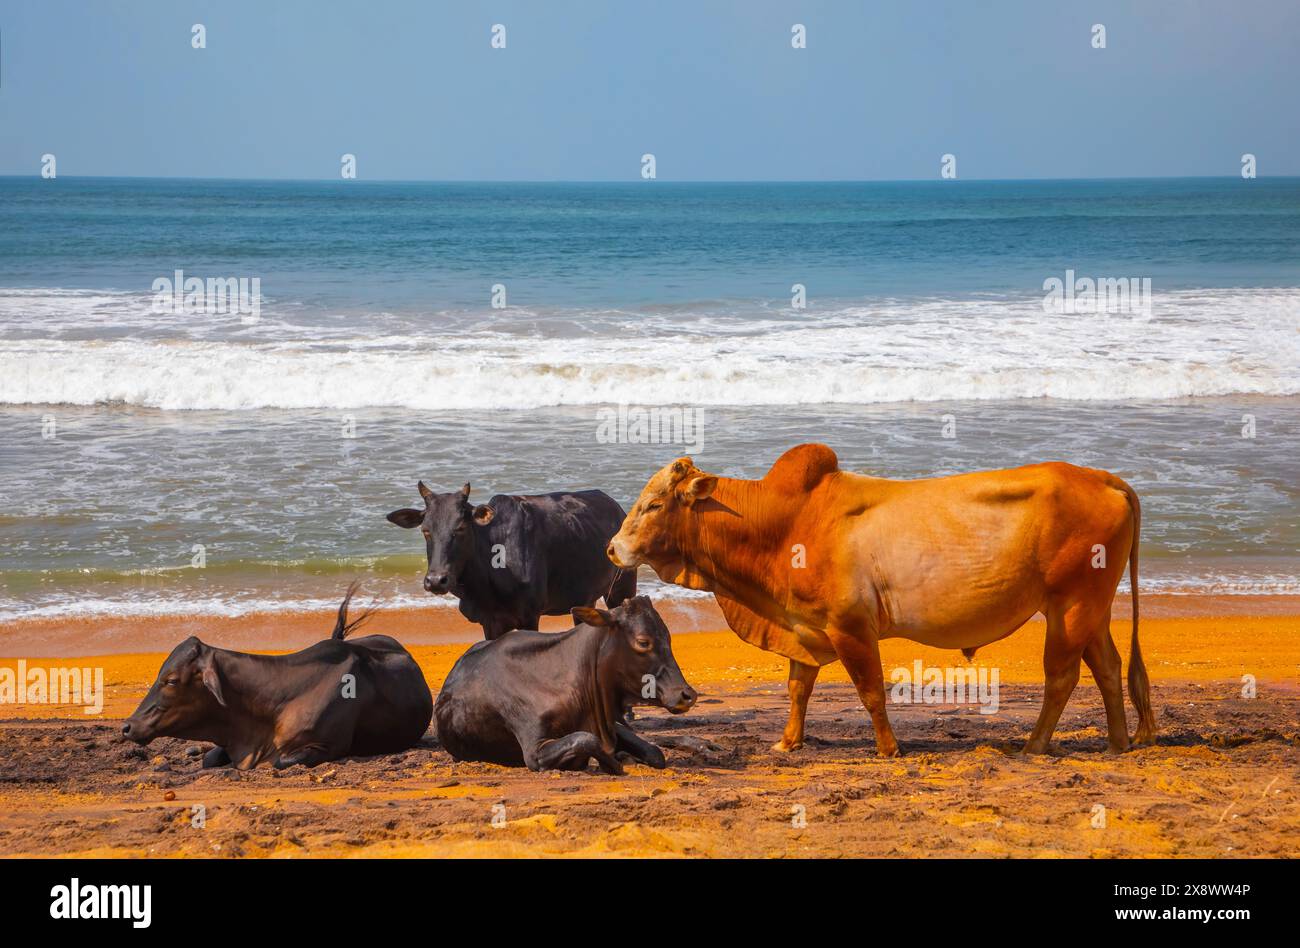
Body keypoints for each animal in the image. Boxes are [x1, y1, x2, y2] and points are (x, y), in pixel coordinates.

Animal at [386, 482, 636, 640]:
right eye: (426, 530)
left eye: (460, 527)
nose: (437, 580)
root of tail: (617, 508)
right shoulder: (489, 622)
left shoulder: (529, 616)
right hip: (585, 600)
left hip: (621, 589)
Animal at [434, 596, 697, 774]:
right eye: (643, 642)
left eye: (668, 637)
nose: (687, 694)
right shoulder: (534, 750)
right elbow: (586, 740)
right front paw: (613, 763)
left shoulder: (609, 724)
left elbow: (655, 752)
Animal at [607, 444, 1156, 758]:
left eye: (653, 504)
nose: (612, 547)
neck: (785, 523)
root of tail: (1105, 478)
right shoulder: (804, 627)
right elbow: (798, 688)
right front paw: (787, 742)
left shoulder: (850, 627)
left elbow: (870, 690)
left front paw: (888, 749)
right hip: (1090, 608)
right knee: (1108, 667)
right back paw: (1118, 742)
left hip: (1070, 606)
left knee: (1062, 676)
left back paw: (1036, 744)